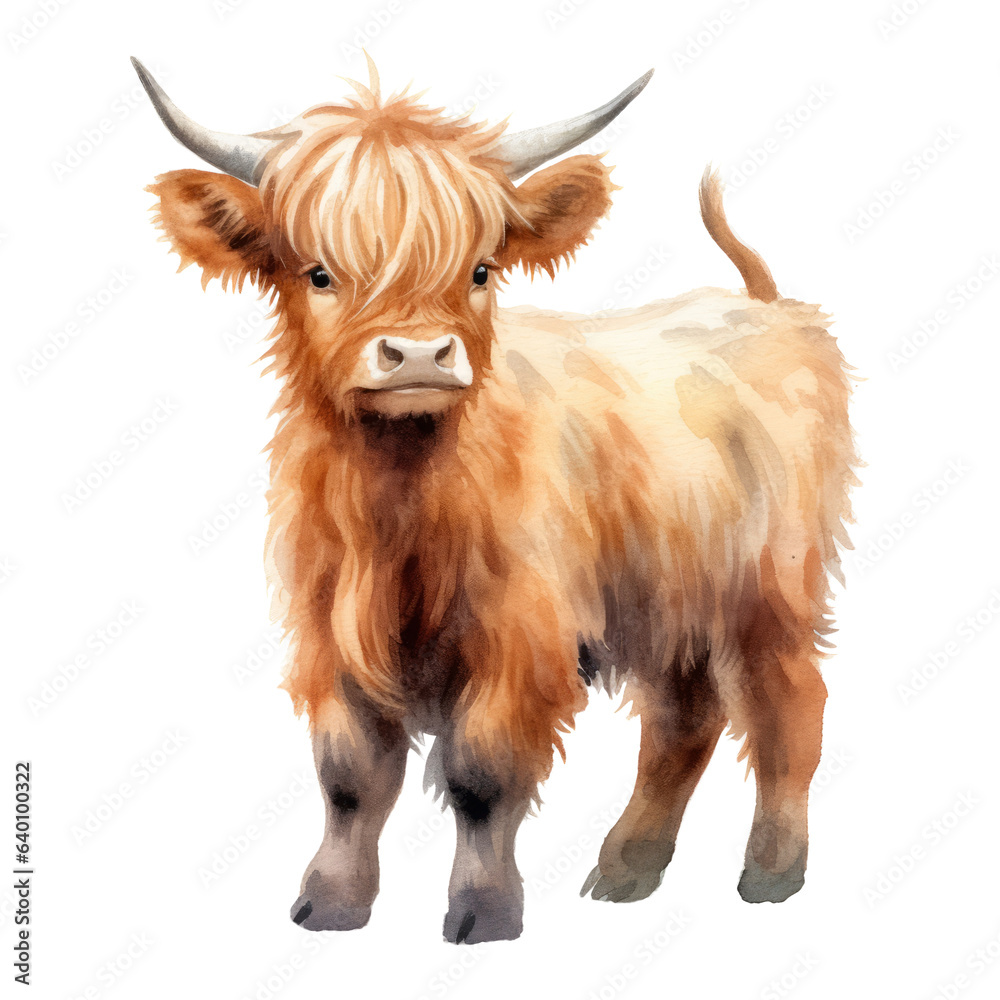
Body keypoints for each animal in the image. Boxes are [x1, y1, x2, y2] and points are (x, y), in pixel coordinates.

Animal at [133, 56, 857, 944]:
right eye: (319, 273)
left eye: (480, 270)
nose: (418, 354)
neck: (403, 504)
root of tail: (758, 303)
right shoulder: (330, 627)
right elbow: (349, 774)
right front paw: (330, 903)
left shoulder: (517, 635)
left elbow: (483, 774)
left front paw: (484, 912)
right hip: (665, 592)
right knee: (686, 718)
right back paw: (628, 868)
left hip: (771, 585)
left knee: (789, 702)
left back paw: (771, 870)